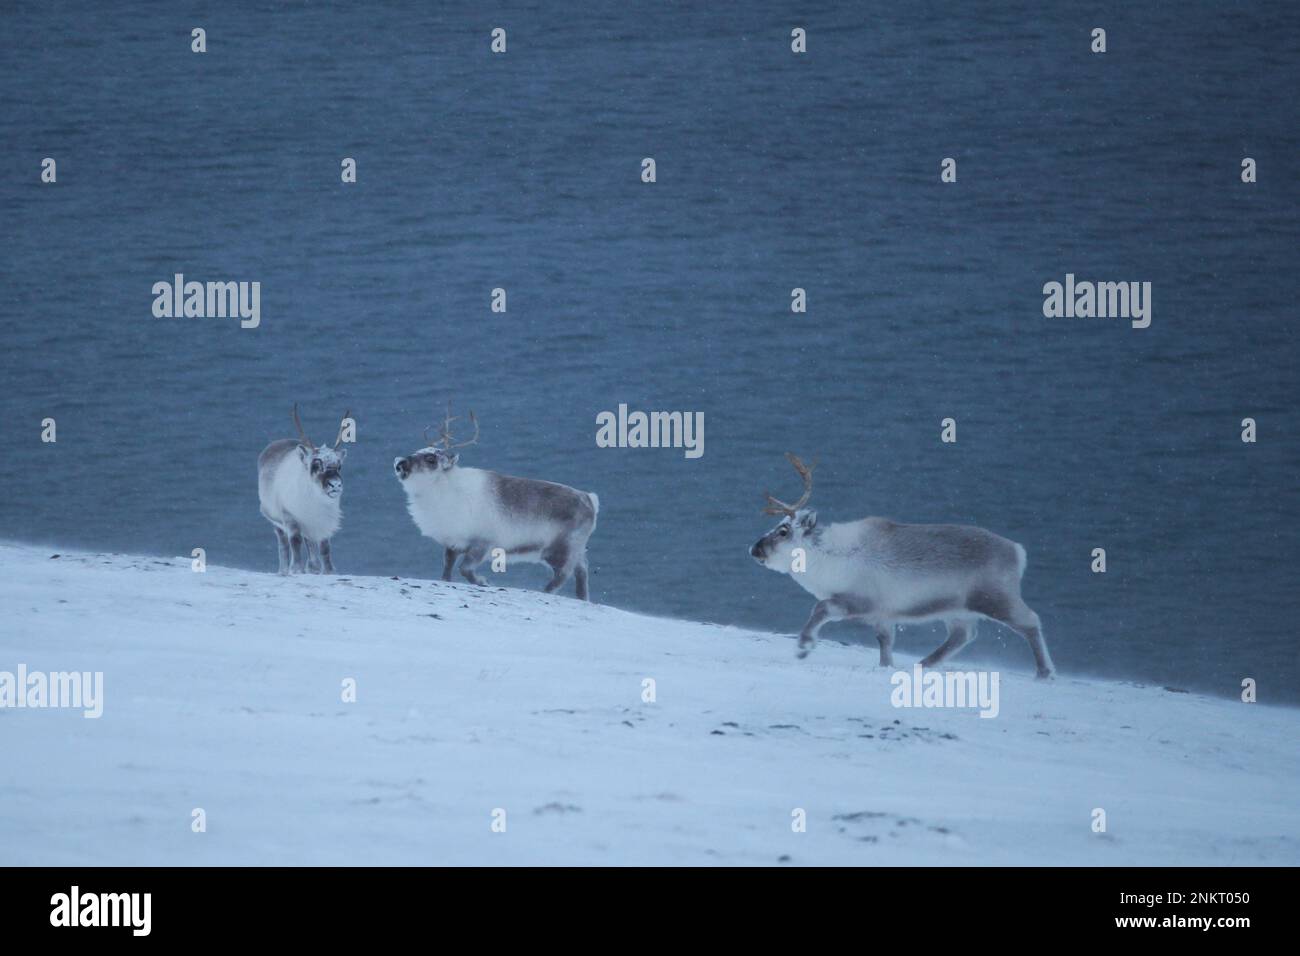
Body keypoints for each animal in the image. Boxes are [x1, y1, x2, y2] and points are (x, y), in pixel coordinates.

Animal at [258, 405, 349, 574]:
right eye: (315, 464)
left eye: (339, 465)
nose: (335, 484)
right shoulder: (290, 517)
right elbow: (295, 540)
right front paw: (296, 568)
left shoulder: (321, 522)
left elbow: (324, 546)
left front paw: (328, 570)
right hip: (276, 521)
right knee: (284, 544)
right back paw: (284, 569)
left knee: (310, 543)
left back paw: (313, 567)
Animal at [394, 405, 600, 600]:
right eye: (416, 451)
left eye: (431, 459)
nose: (399, 462)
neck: (442, 494)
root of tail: (590, 499)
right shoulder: (452, 543)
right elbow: (447, 569)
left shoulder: (483, 543)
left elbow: (465, 569)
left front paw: (484, 582)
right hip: (576, 549)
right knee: (582, 568)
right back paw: (583, 598)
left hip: (560, 549)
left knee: (564, 574)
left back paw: (547, 592)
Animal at [749, 453, 1055, 679]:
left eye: (783, 531)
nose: (754, 549)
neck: (827, 558)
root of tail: (1018, 552)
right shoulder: (884, 614)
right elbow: (885, 642)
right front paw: (887, 666)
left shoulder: (860, 601)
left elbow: (820, 608)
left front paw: (803, 647)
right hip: (958, 609)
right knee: (963, 634)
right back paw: (924, 664)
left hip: (995, 597)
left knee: (1030, 621)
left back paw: (1044, 672)